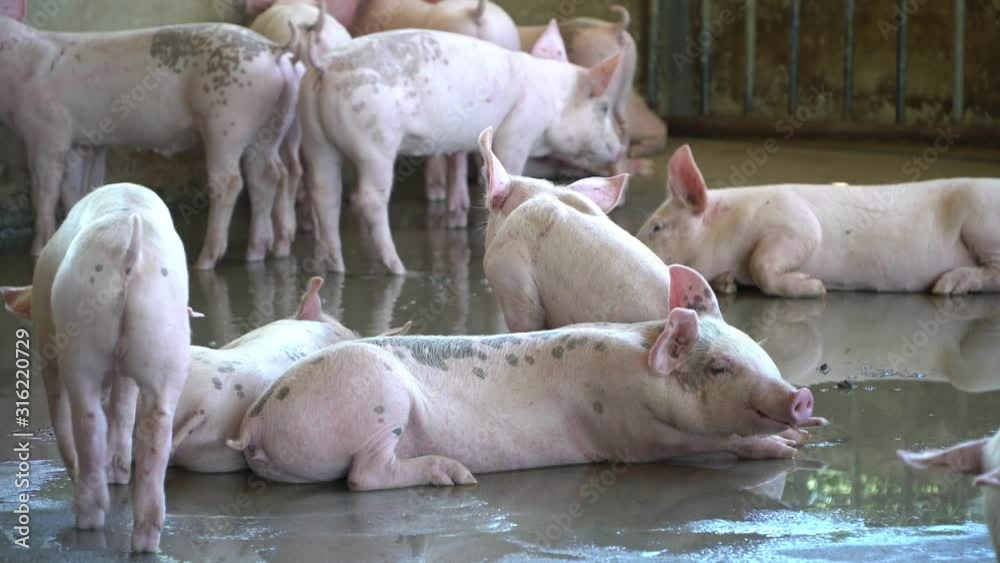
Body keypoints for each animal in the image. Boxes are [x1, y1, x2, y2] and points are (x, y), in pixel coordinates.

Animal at [0, 12, 299, 269]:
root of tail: (272, 49)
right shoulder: (83, 141)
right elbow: (75, 190)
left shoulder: (46, 131)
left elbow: (44, 192)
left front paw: (37, 251)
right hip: (271, 126)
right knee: (268, 174)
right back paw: (260, 254)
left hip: (227, 121)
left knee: (229, 182)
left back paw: (204, 261)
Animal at [1, 183, 193, 552]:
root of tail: (130, 250)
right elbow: (123, 407)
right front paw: (117, 473)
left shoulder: (47, 335)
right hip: (162, 327)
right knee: (154, 424)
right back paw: (142, 540)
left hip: (80, 330)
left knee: (84, 418)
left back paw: (87, 515)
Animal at [226, 273, 822, 488]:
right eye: (720, 368)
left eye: (762, 355)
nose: (800, 396)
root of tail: (254, 422)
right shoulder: (631, 436)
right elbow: (708, 442)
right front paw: (784, 447)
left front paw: (801, 435)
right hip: (377, 399)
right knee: (363, 476)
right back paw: (457, 476)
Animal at [298, 24, 627, 273]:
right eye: (604, 108)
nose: (620, 148)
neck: (554, 102)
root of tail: (324, 65)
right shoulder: (518, 130)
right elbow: (510, 164)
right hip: (374, 139)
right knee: (369, 198)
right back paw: (399, 268)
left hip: (314, 136)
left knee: (324, 193)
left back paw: (336, 267)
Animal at [637, 145, 1000, 297]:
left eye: (657, 226)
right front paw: (727, 284)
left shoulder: (793, 221)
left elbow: (764, 261)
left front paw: (816, 287)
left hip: (982, 220)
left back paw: (946, 287)